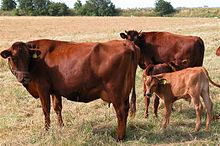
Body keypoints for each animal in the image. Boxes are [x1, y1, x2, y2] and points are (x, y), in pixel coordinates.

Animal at [0, 39, 141, 141]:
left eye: (27, 57)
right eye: (14, 58)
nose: (25, 77)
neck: (37, 62)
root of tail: (127, 43)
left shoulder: (43, 89)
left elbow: (46, 110)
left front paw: (47, 130)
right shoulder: (55, 90)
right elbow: (57, 108)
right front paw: (61, 126)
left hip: (115, 92)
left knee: (121, 112)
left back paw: (119, 137)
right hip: (125, 93)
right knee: (126, 110)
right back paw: (124, 135)